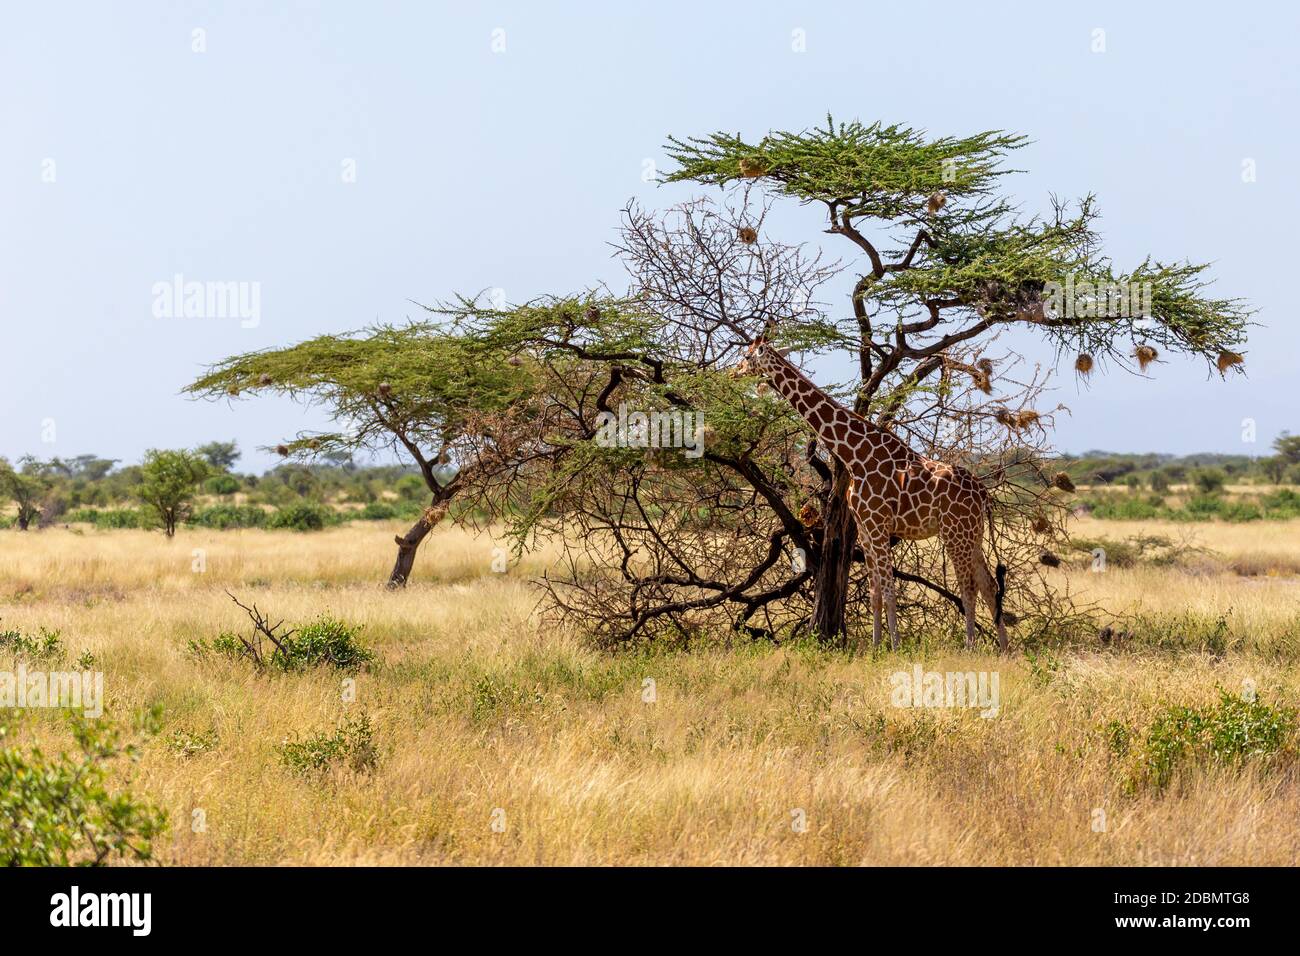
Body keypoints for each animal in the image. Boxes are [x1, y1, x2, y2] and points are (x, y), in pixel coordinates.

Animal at [734, 330, 1009, 653]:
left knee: (969, 587)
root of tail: (983, 493)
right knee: (989, 584)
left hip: (955, 532)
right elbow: (876, 590)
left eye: (747, 356)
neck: (855, 454)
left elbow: (889, 589)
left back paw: (970, 646)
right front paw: (877, 647)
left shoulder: (878, 525)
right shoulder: (865, 528)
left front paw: (896, 647)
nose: (733, 371)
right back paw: (1006, 649)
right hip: (972, 533)